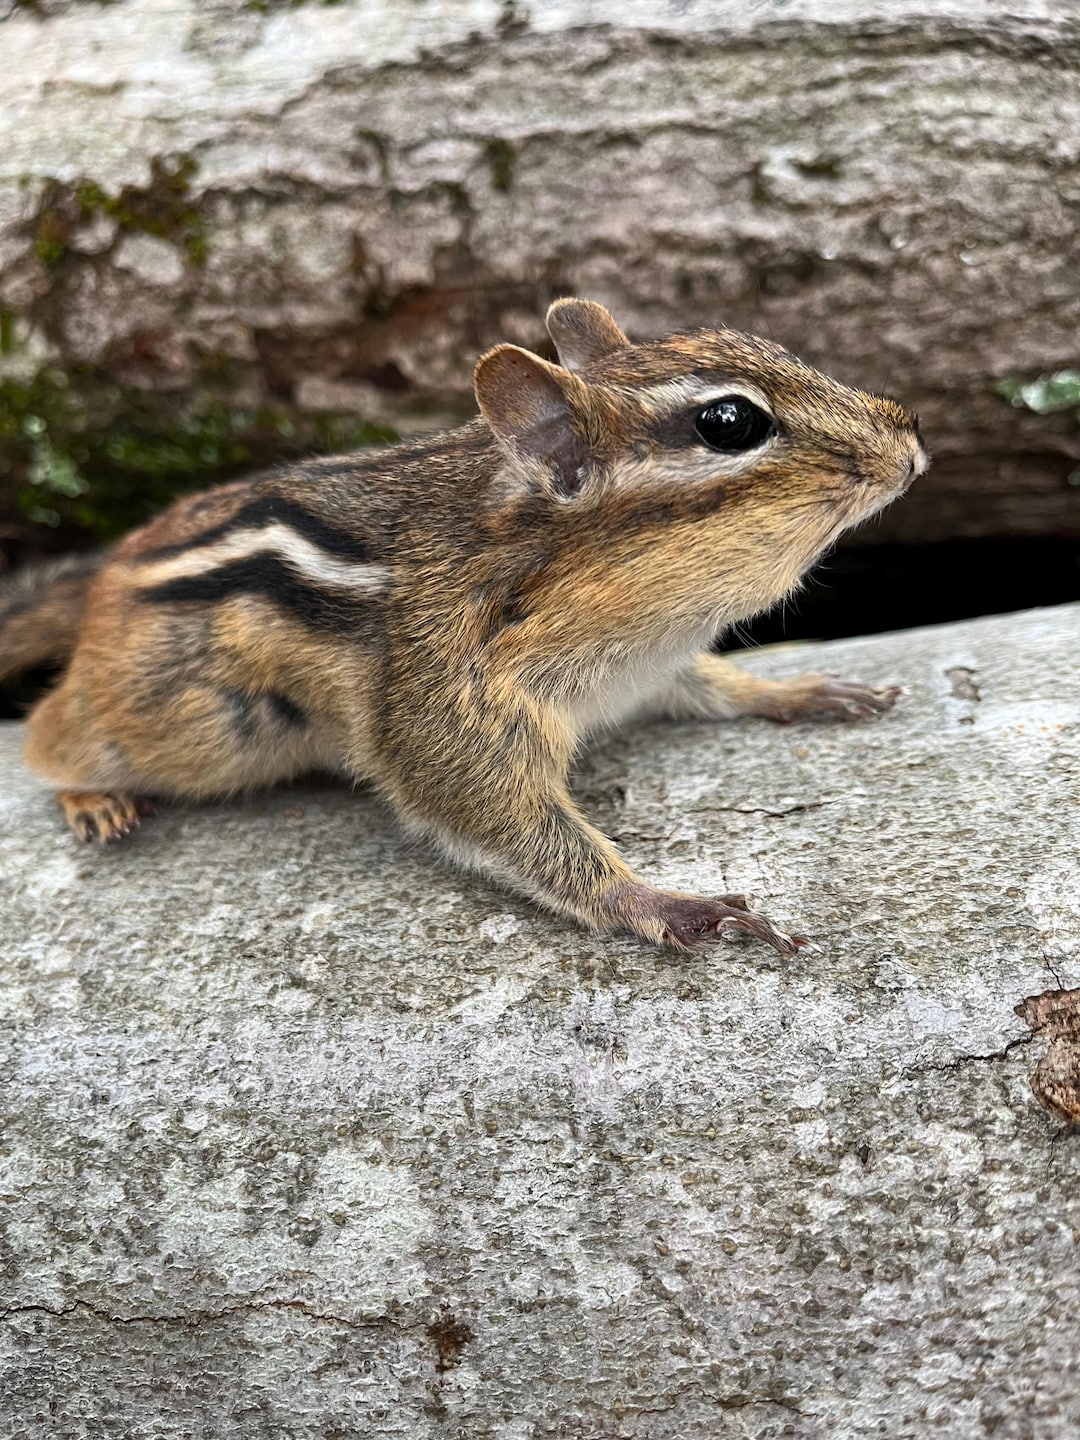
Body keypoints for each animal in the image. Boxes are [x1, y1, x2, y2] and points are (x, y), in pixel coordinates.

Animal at [0, 300, 927, 956]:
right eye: (729, 423)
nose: (913, 441)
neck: (633, 625)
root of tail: (108, 575)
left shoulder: (658, 667)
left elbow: (716, 684)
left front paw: (802, 689)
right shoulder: (443, 703)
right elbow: (492, 813)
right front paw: (664, 902)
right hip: (181, 724)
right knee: (49, 732)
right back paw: (93, 796)